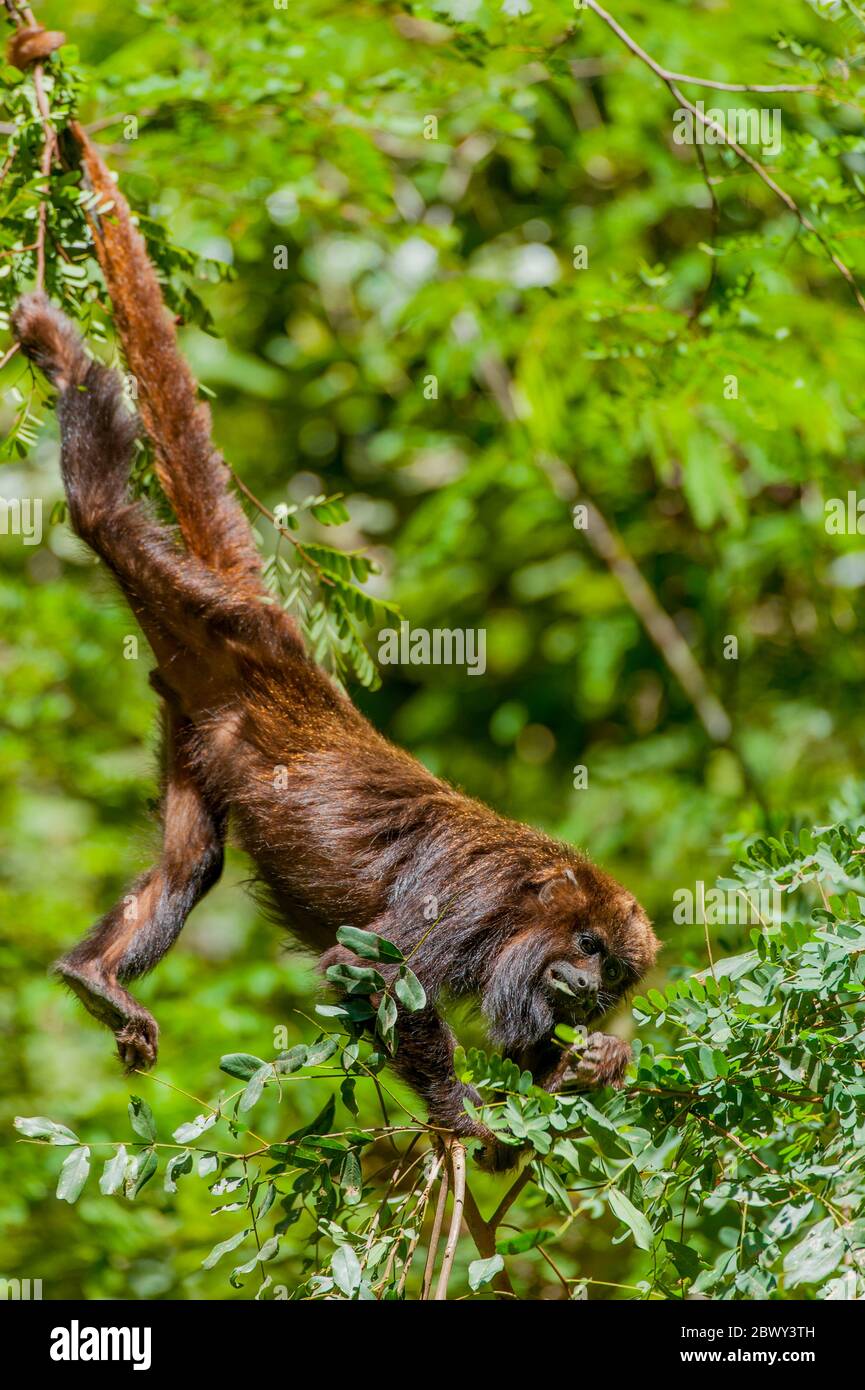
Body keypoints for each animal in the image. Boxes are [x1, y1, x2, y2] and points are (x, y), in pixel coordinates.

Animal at [11, 127, 659, 1169]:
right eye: (591, 953)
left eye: (607, 985)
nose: (584, 995)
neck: (540, 898)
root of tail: (285, 653)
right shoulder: (479, 903)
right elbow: (370, 973)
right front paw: (467, 1122)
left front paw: (589, 1063)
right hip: (228, 624)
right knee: (103, 514)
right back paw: (67, 363)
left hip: (197, 710)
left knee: (188, 866)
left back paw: (94, 977)